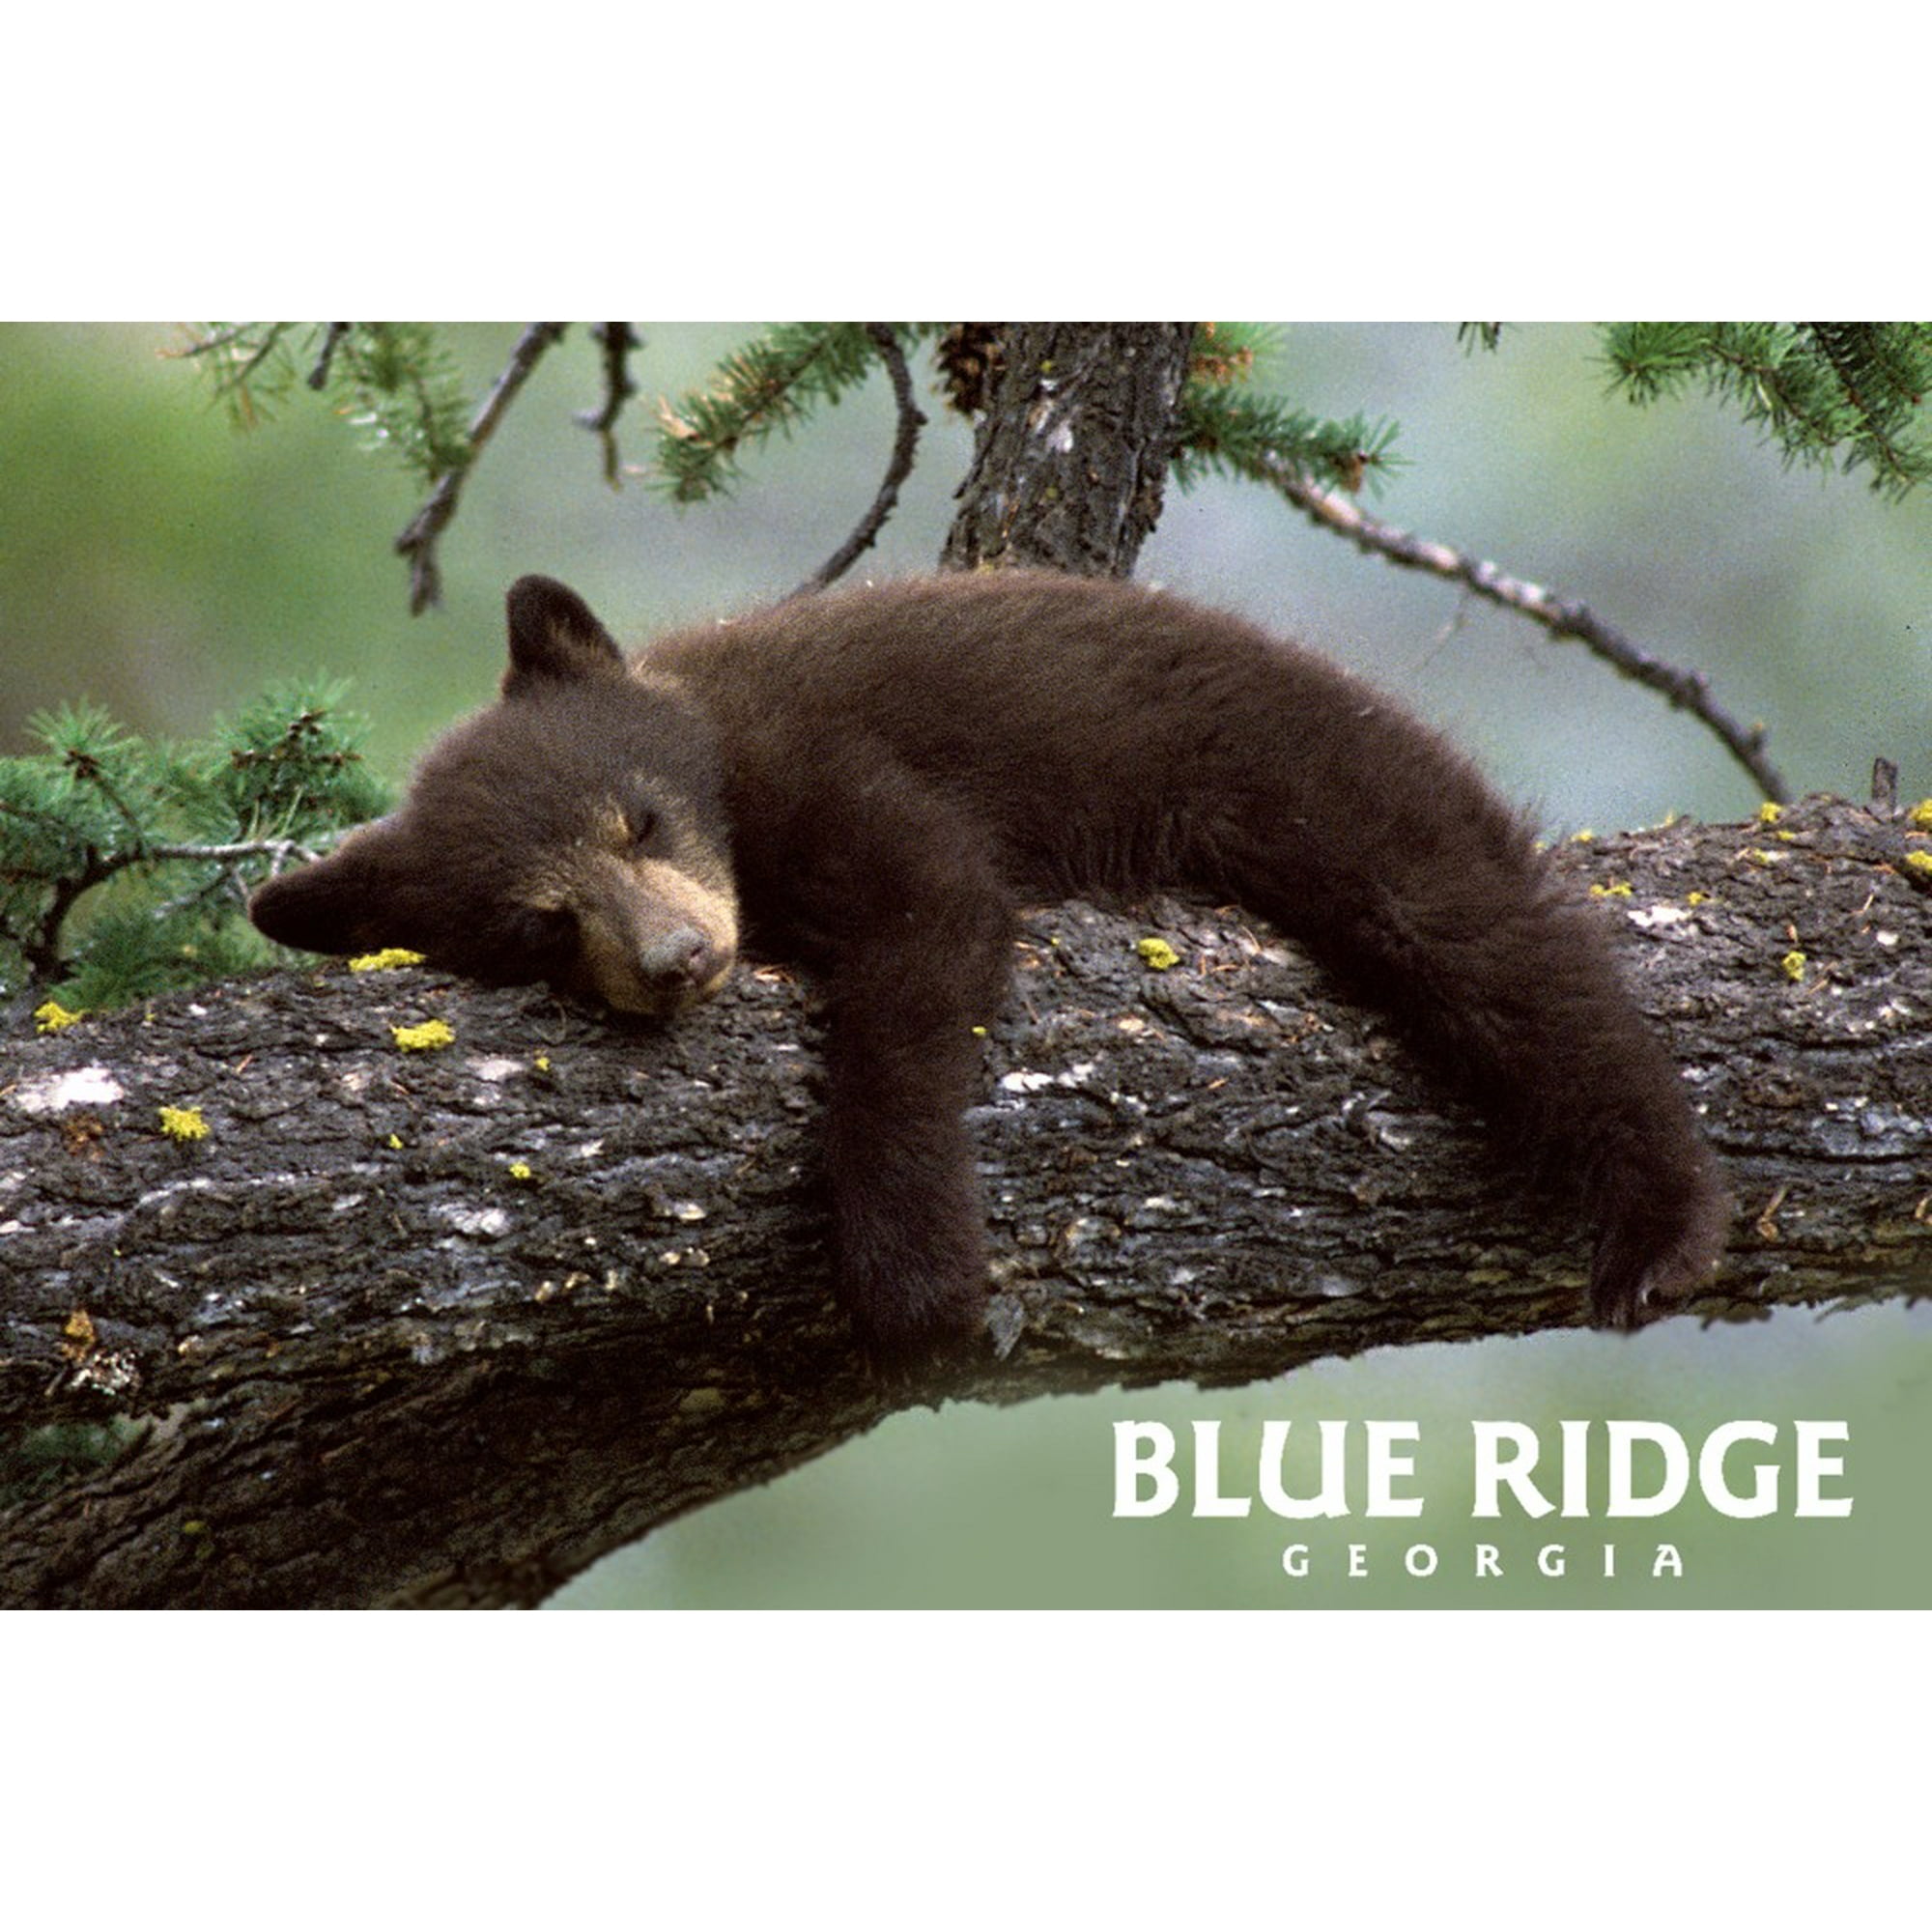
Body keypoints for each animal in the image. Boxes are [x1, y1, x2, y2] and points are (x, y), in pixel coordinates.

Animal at [249, 569, 1729, 1368]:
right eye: (538, 926)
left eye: (641, 819)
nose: (679, 958)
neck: (724, 765)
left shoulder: (831, 768)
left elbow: (924, 943)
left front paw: (913, 1275)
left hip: (1322, 781)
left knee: (1493, 948)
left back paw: (1657, 1223)